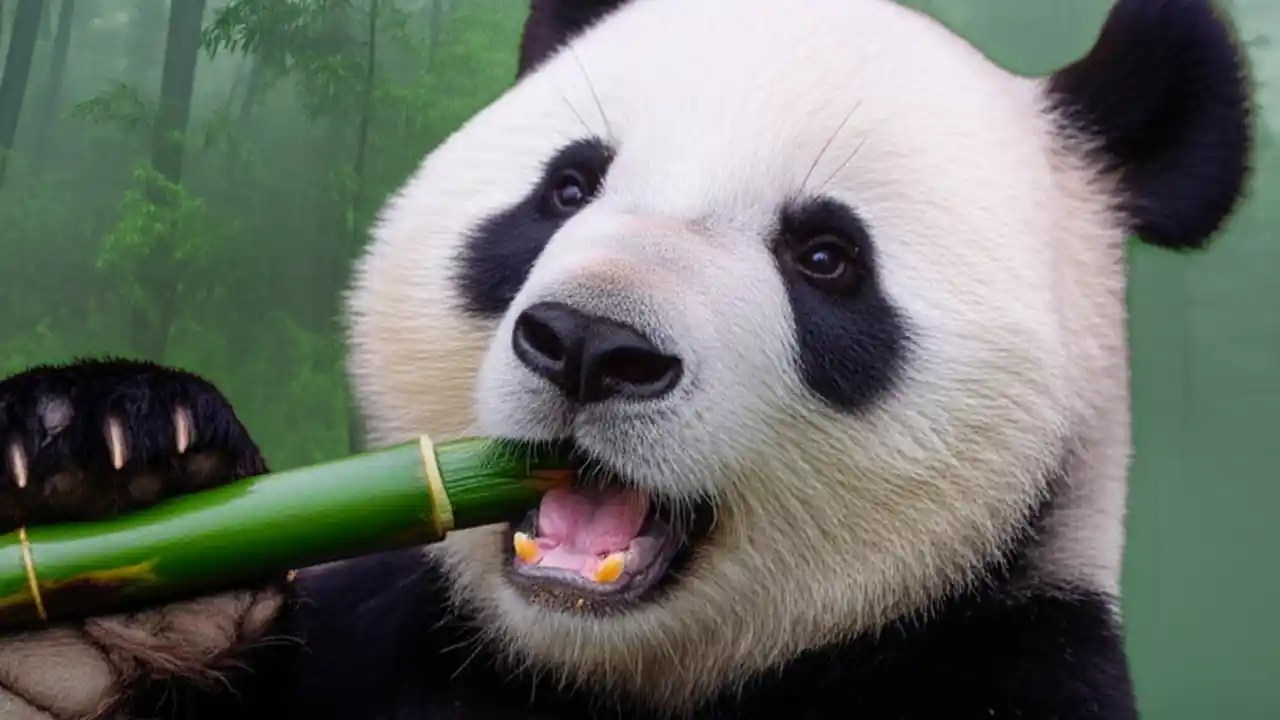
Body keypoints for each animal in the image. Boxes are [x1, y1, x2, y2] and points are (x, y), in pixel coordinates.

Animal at [0, 0, 1254, 718]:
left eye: (825, 256)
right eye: (566, 188)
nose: (591, 347)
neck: (603, 669)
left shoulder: (1001, 664)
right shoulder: (403, 635)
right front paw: (112, 478)